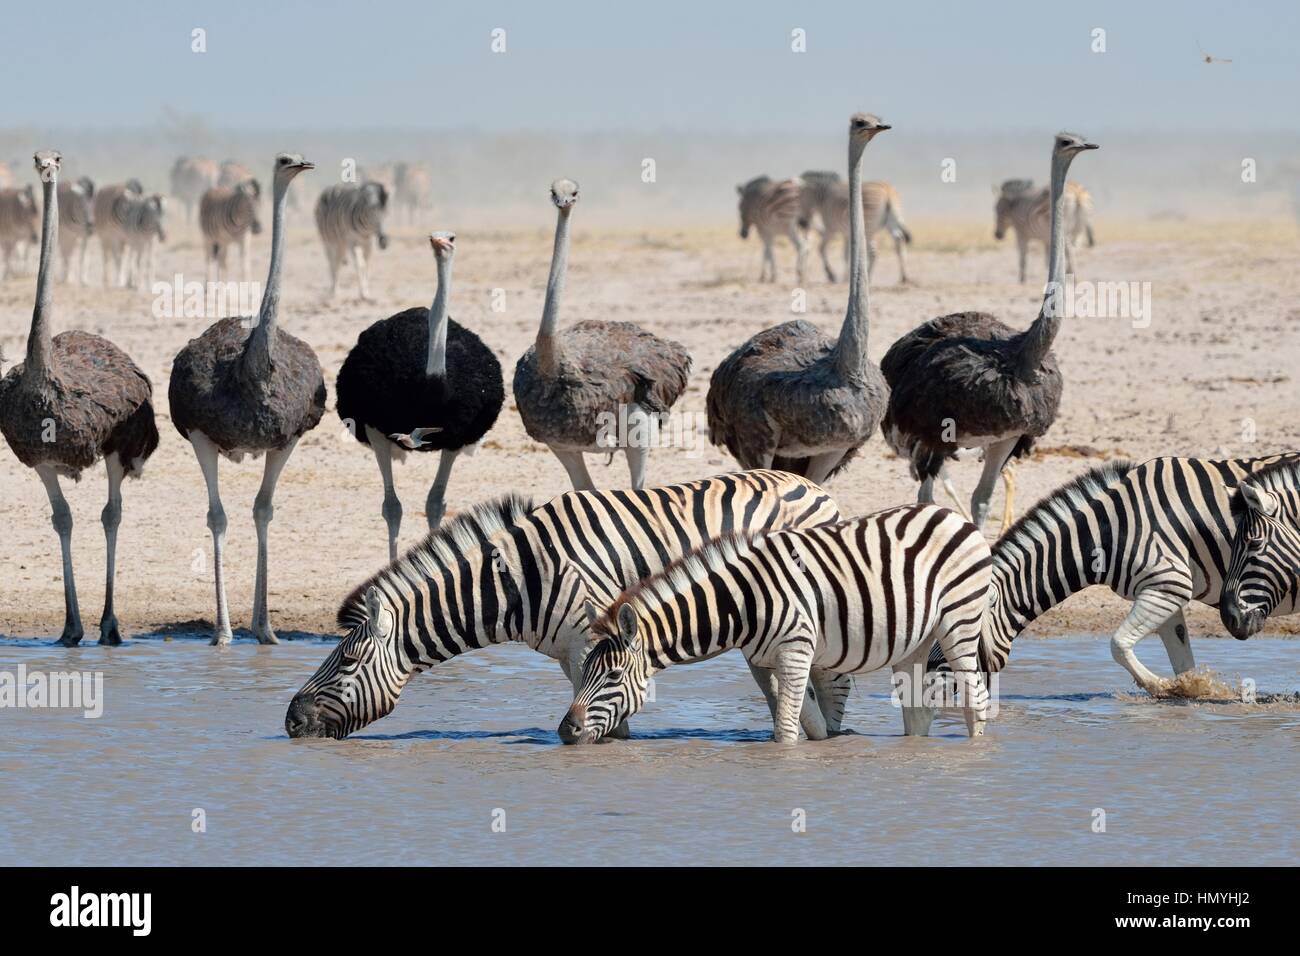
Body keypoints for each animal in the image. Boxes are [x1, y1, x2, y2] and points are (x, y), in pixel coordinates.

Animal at [284, 470, 845, 739]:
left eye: (347, 661)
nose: (289, 722)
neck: (515, 581)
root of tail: (811, 484)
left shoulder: (591, 645)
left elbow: (610, 722)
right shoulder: (567, 653)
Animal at [559, 504, 993, 745]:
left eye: (613, 676)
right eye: (585, 670)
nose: (565, 731)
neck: (741, 602)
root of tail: (955, 515)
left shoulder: (796, 651)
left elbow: (786, 729)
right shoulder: (762, 660)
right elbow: (809, 724)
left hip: (959, 623)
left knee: (976, 697)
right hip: (913, 643)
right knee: (918, 711)